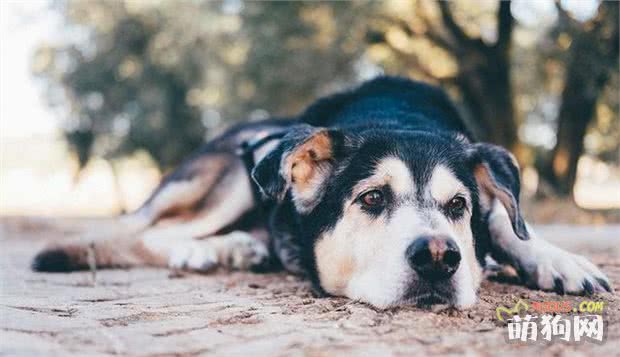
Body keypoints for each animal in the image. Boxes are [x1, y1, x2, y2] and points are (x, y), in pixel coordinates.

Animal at [31, 76, 612, 308]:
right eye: (372, 198)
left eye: (457, 206)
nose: (439, 257)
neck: (395, 116)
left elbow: (506, 225)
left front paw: (556, 259)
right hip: (238, 173)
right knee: (140, 232)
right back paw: (212, 249)